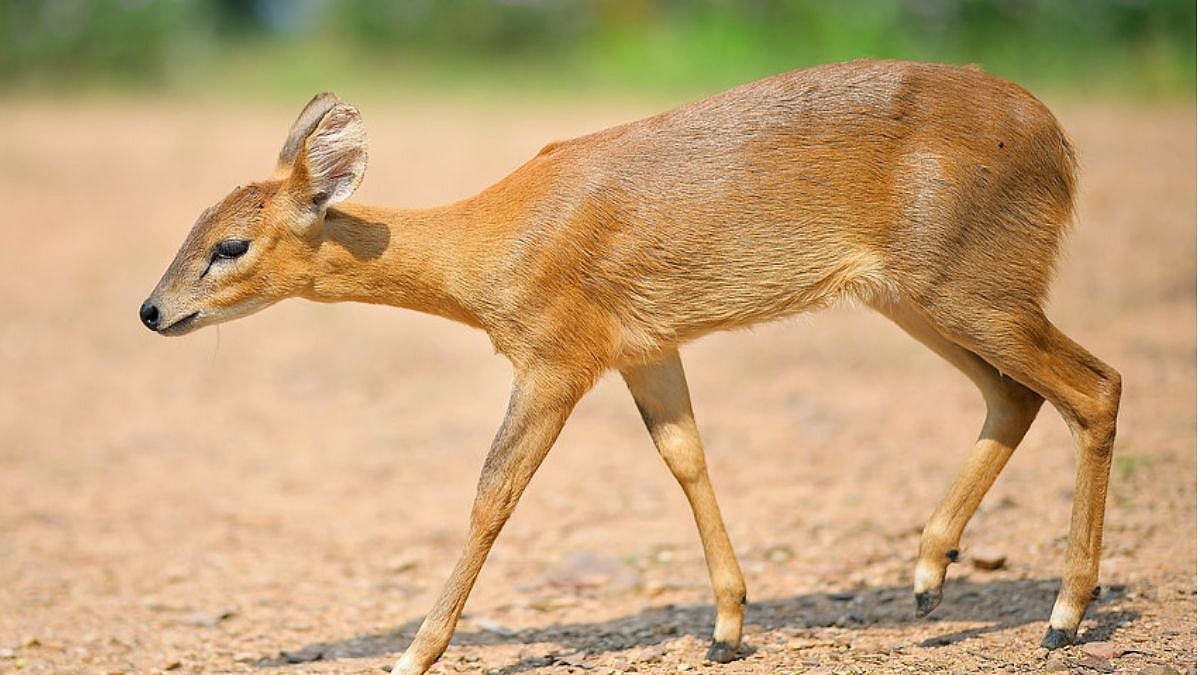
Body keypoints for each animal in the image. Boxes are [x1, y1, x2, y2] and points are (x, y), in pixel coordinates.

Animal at [139, 60, 1121, 673]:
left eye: (231, 243)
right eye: (193, 223)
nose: (153, 309)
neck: (490, 243)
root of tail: (1060, 143)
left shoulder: (554, 359)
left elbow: (493, 493)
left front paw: (413, 652)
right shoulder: (647, 348)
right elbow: (686, 456)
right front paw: (726, 626)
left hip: (970, 285)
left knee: (1095, 386)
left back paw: (1063, 616)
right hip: (918, 295)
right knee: (1017, 394)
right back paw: (927, 576)